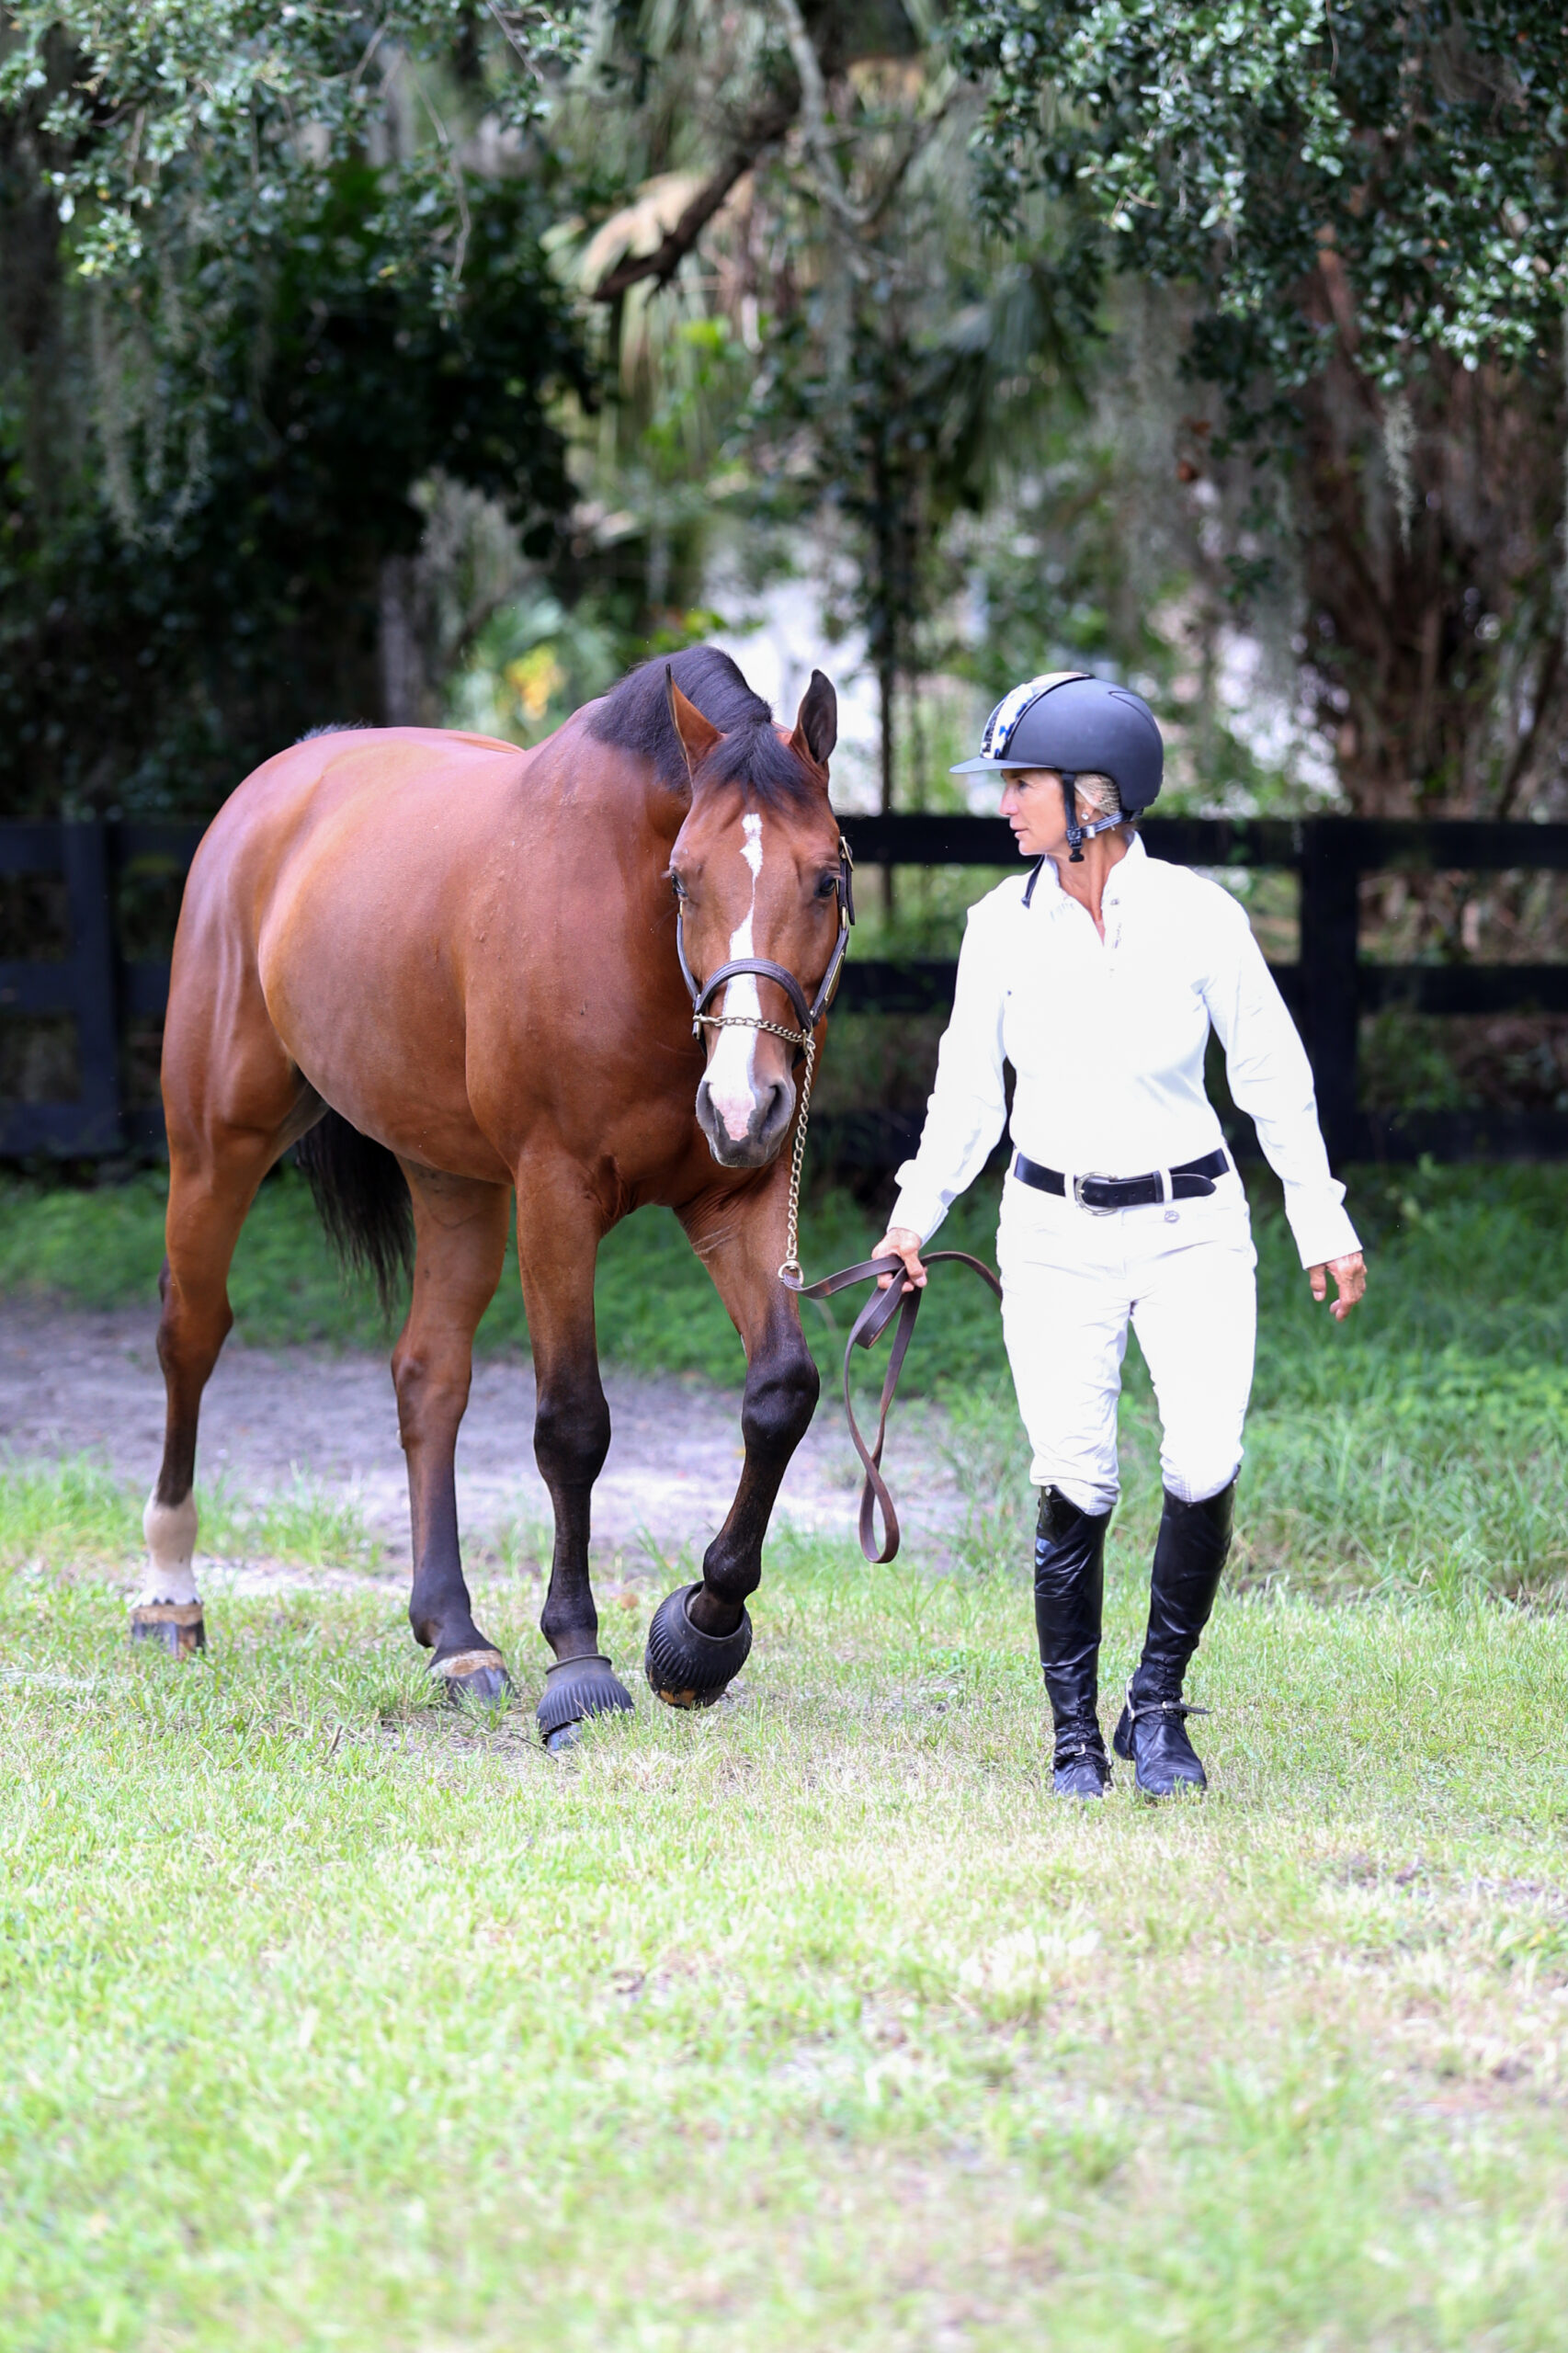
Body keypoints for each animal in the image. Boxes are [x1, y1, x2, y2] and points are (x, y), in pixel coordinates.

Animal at [136, 645, 847, 1744]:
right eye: (682, 880)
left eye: (827, 877)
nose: (740, 1097)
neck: (627, 936)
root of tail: (287, 778)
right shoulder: (556, 1196)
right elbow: (573, 1425)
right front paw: (580, 1662)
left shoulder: (739, 1196)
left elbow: (780, 1394)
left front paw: (702, 1630)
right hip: (218, 1142)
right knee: (192, 1332)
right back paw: (171, 1596)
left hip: (451, 1180)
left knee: (427, 1376)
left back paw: (456, 1637)